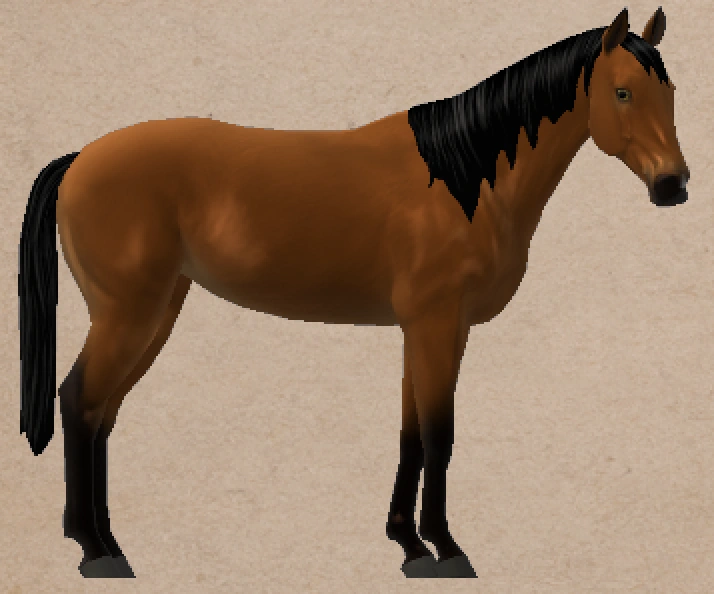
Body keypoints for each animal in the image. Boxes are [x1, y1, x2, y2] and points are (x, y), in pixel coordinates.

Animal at [19, 7, 689, 579]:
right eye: (623, 92)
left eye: (672, 92)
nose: (673, 185)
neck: (465, 178)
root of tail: (80, 158)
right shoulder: (436, 324)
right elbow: (439, 432)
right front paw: (447, 548)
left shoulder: (428, 330)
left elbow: (411, 430)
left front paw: (409, 544)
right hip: (128, 314)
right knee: (79, 401)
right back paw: (95, 552)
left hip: (156, 312)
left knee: (102, 412)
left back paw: (110, 544)